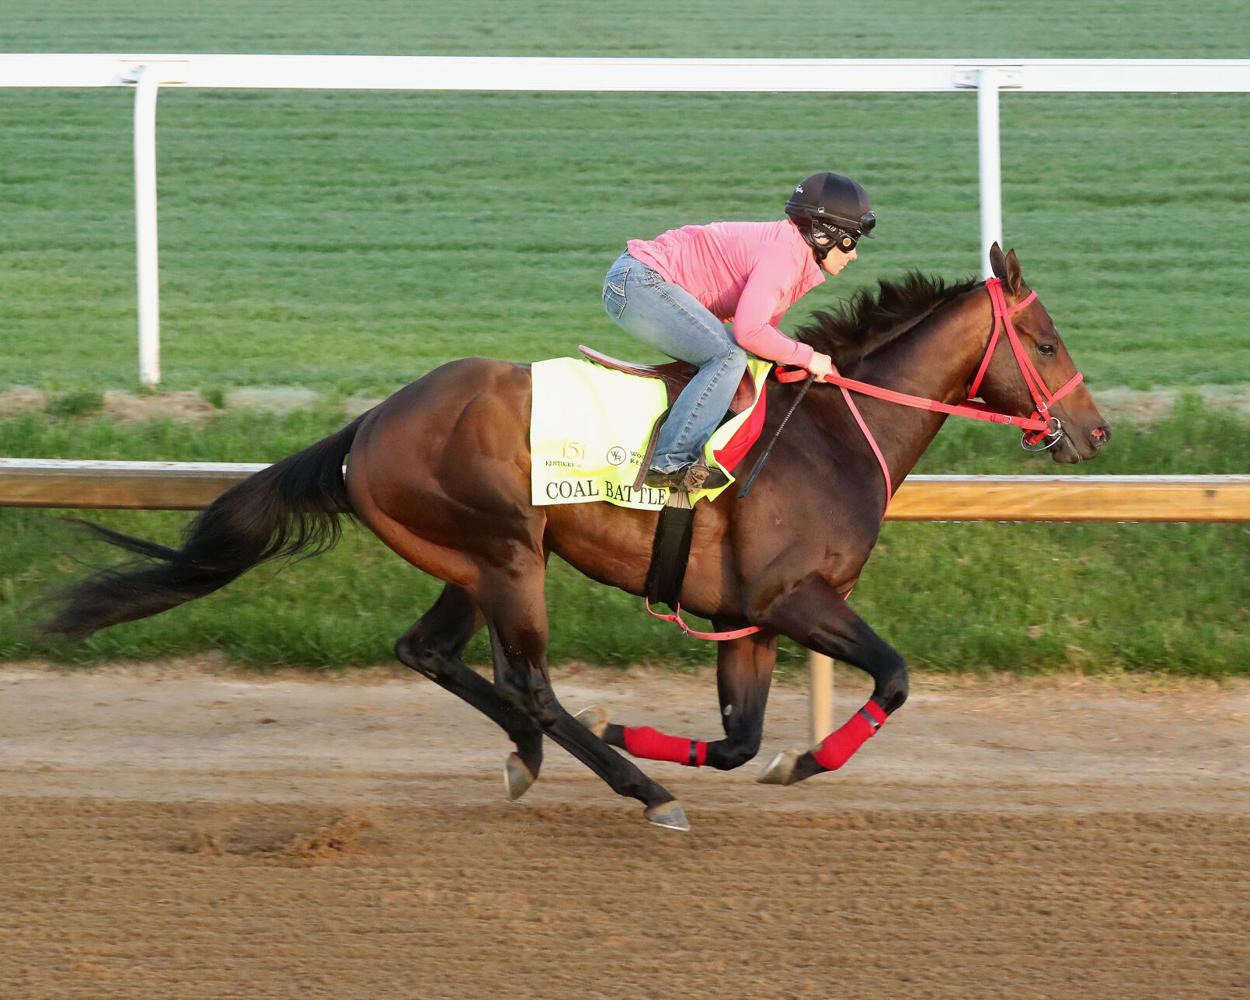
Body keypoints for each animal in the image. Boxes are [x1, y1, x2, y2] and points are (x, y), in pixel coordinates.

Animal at [41, 243, 1110, 831]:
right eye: (1046, 341)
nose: (1094, 432)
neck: (835, 435)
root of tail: (370, 424)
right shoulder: (796, 600)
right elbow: (890, 677)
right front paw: (798, 763)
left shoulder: (750, 620)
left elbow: (738, 740)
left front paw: (668, 736)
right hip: (510, 555)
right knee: (530, 681)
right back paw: (637, 788)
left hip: (473, 558)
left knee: (432, 652)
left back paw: (536, 755)